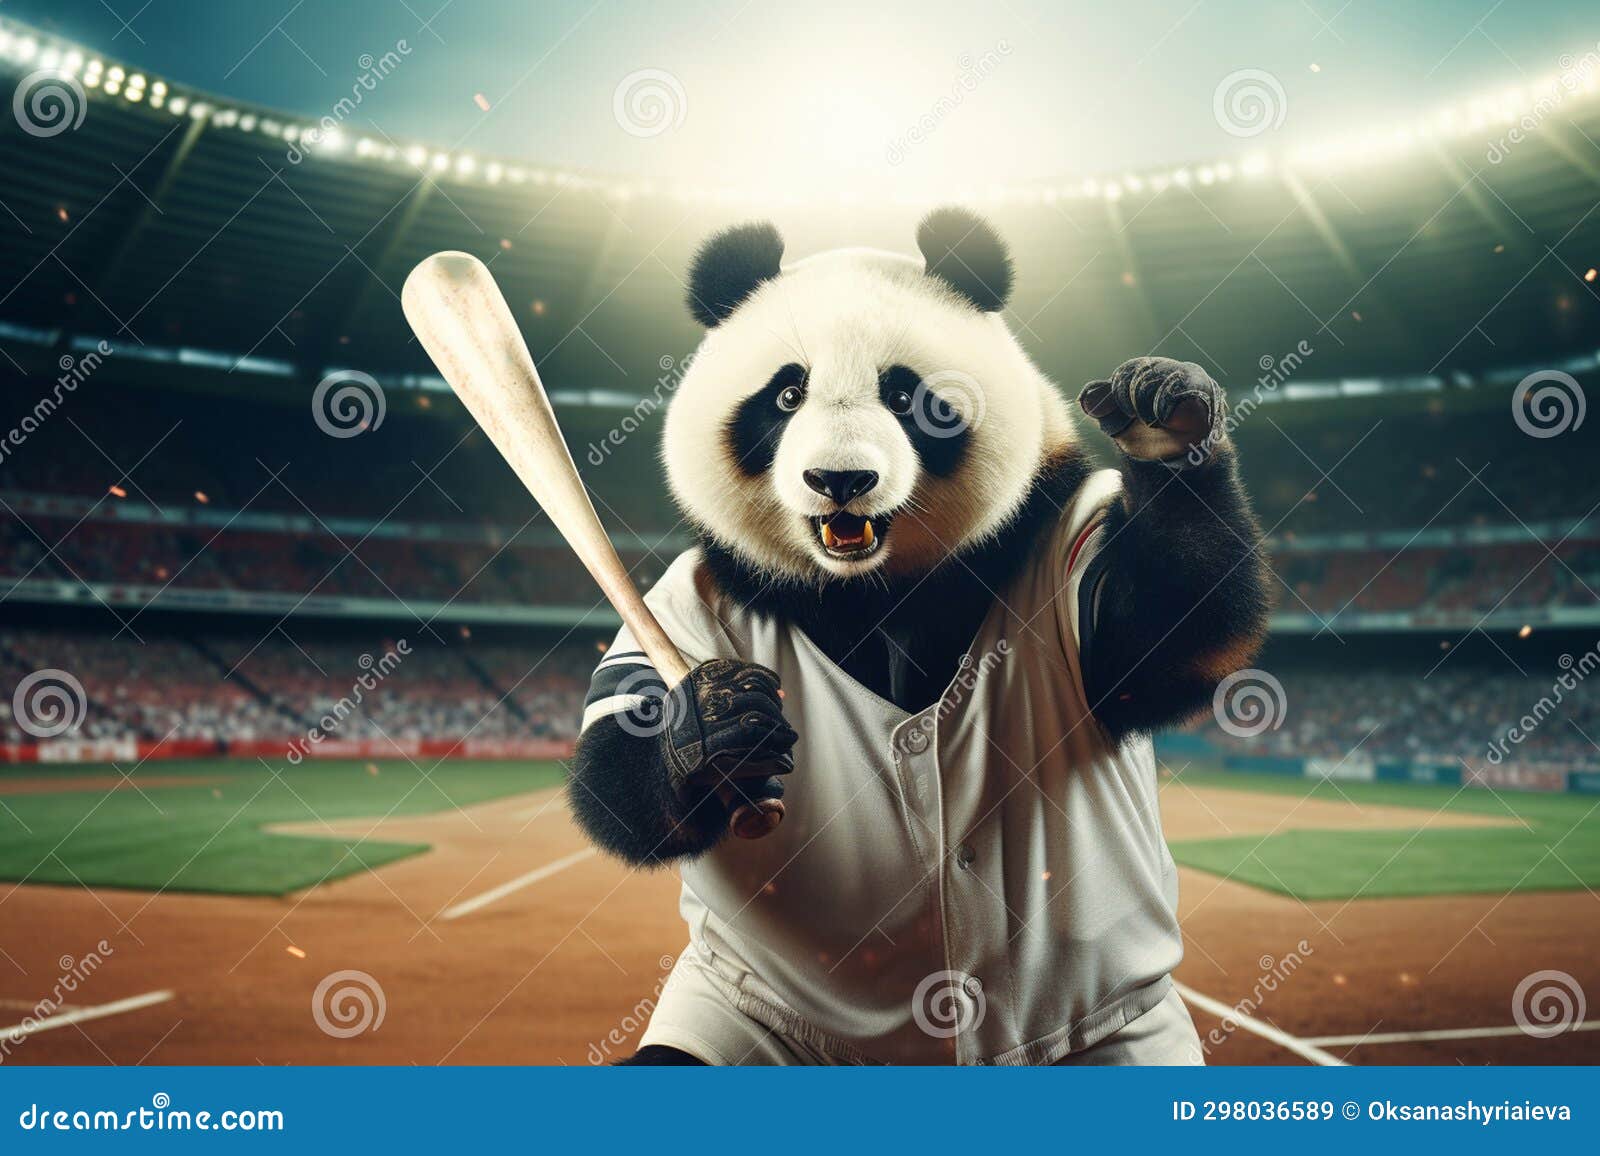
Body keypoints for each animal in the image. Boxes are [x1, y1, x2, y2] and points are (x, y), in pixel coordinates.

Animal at [569, 207, 1269, 1066]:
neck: (874, 587)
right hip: (754, 1017)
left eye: (905, 394)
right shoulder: (693, 599)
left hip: (1113, 1032)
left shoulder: (1047, 541)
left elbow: (1164, 634)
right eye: (787, 393)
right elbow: (618, 777)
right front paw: (709, 728)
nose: (841, 480)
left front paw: (1164, 418)